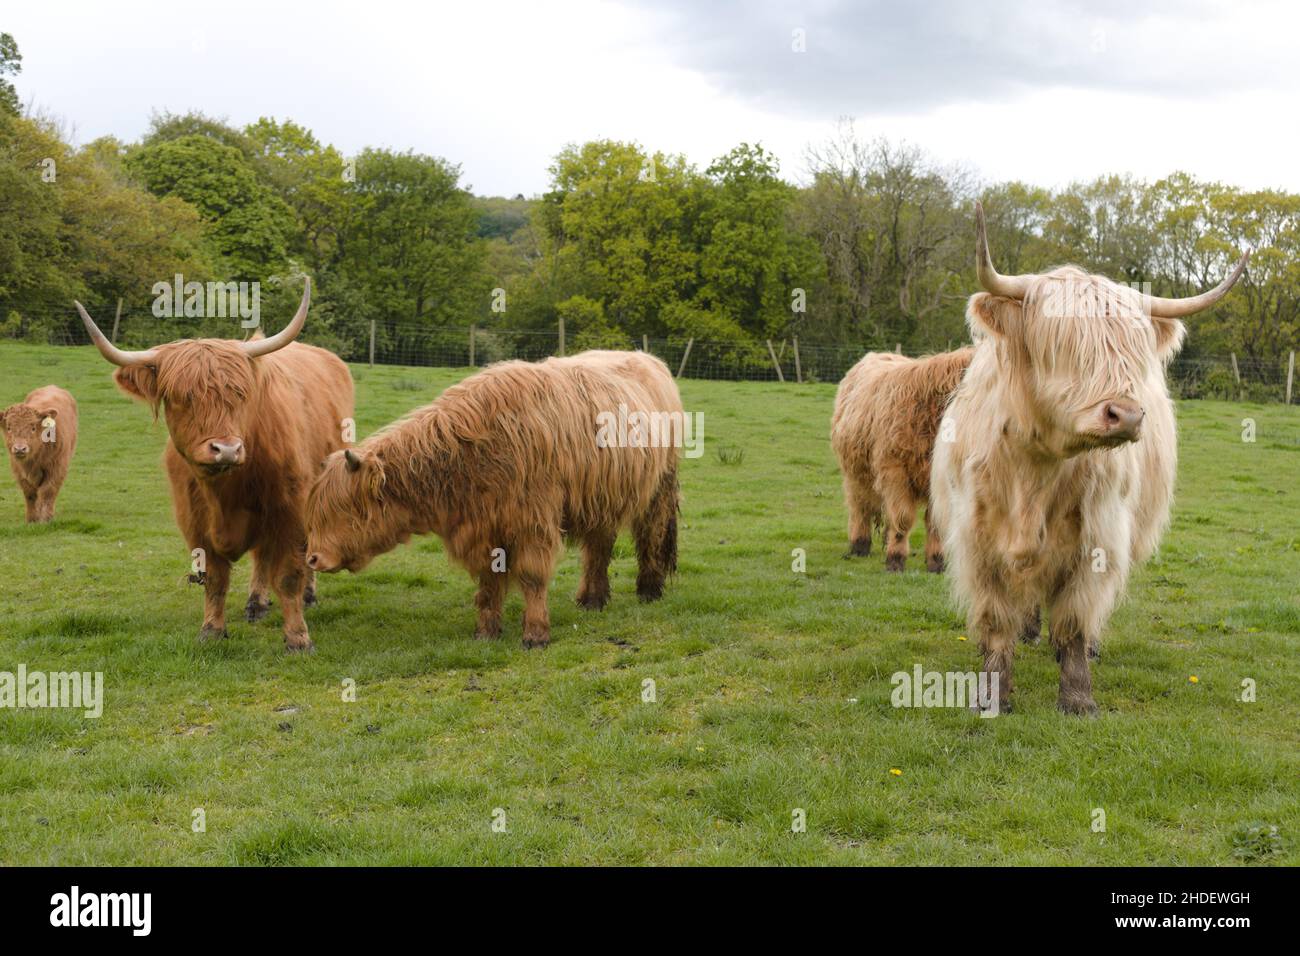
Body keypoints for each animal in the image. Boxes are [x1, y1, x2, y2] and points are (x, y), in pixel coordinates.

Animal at [2, 385, 78, 523]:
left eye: (33, 427)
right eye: (9, 427)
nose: (20, 449)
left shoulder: (57, 468)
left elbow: (47, 491)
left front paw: (46, 519)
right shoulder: (18, 470)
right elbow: (30, 493)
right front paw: (32, 519)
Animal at [75, 280, 354, 651]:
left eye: (240, 394)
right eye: (181, 397)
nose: (226, 449)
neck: (226, 490)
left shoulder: (289, 511)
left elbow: (289, 574)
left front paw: (298, 638)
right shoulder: (194, 521)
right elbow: (215, 578)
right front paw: (212, 629)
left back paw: (305, 596)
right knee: (260, 556)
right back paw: (256, 603)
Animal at [305, 350, 682, 649]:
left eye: (345, 509)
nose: (312, 557)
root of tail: (649, 359)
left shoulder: (532, 521)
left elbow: (531, 575)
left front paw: (535, 634)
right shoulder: (484, 529)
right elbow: (488, 582)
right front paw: (486, 632)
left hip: (659, 489)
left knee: (650, 536)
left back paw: (649, 591)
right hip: (600, 498)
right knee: (598, 548)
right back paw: (592, 599)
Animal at [831, 348, 973, 572]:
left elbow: (934, 521)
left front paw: (936, 561)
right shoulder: (894, 470)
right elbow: (903, 517)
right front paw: (895, 559)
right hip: (855, 473)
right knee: (859, 507)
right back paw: (859, 545)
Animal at [931, 202, 1248, 715]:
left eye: (1134, 351)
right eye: (1064, 345)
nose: (1126, 415)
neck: (1034, 469)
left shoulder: (1099, 536)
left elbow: (1076, 619)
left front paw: (1078, 697)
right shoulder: (978, 540)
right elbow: (995, 621)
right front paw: (992, 693)